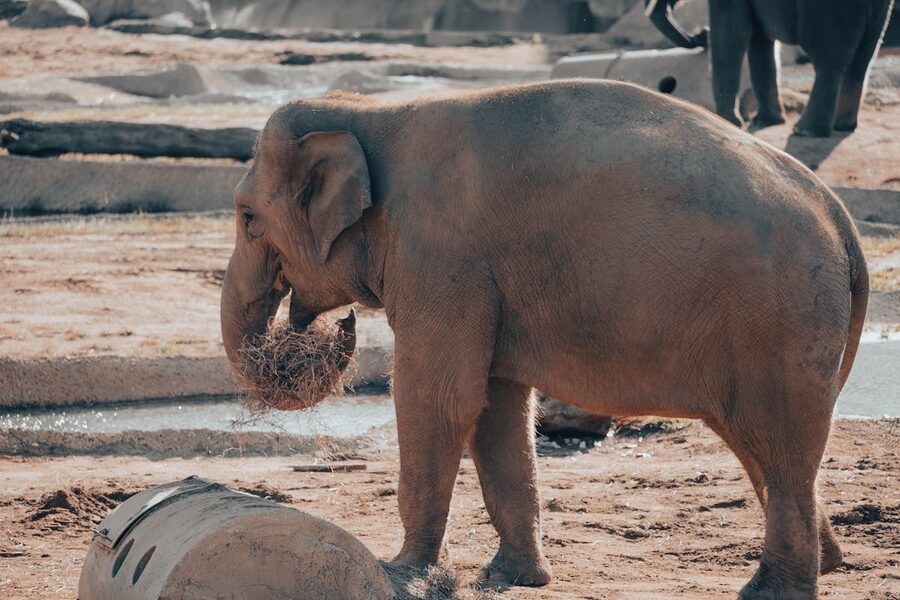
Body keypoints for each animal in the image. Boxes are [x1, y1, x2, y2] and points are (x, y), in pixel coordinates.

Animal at [220, 80, 868, 598]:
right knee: (764, 446)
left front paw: (404, 574)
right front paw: (510, 579)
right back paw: (830, 565)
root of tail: (841, 219)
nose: (339, 325)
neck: (375, 111)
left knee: (777, 444)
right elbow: (496, 407)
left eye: (247, 218)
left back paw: (771, 590)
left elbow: (439, 399)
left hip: (779, 320)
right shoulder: (483, 280)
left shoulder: (442, 258)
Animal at [646, 0, 894, 137]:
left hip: (831, 11)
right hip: (880, 13)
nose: (699, 34)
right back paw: (843, 126)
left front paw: (729, 121)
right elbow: (759, 41)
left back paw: (804, 131)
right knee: (861, 62)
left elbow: (732, 32)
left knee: (829, 62)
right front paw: (765, 121)